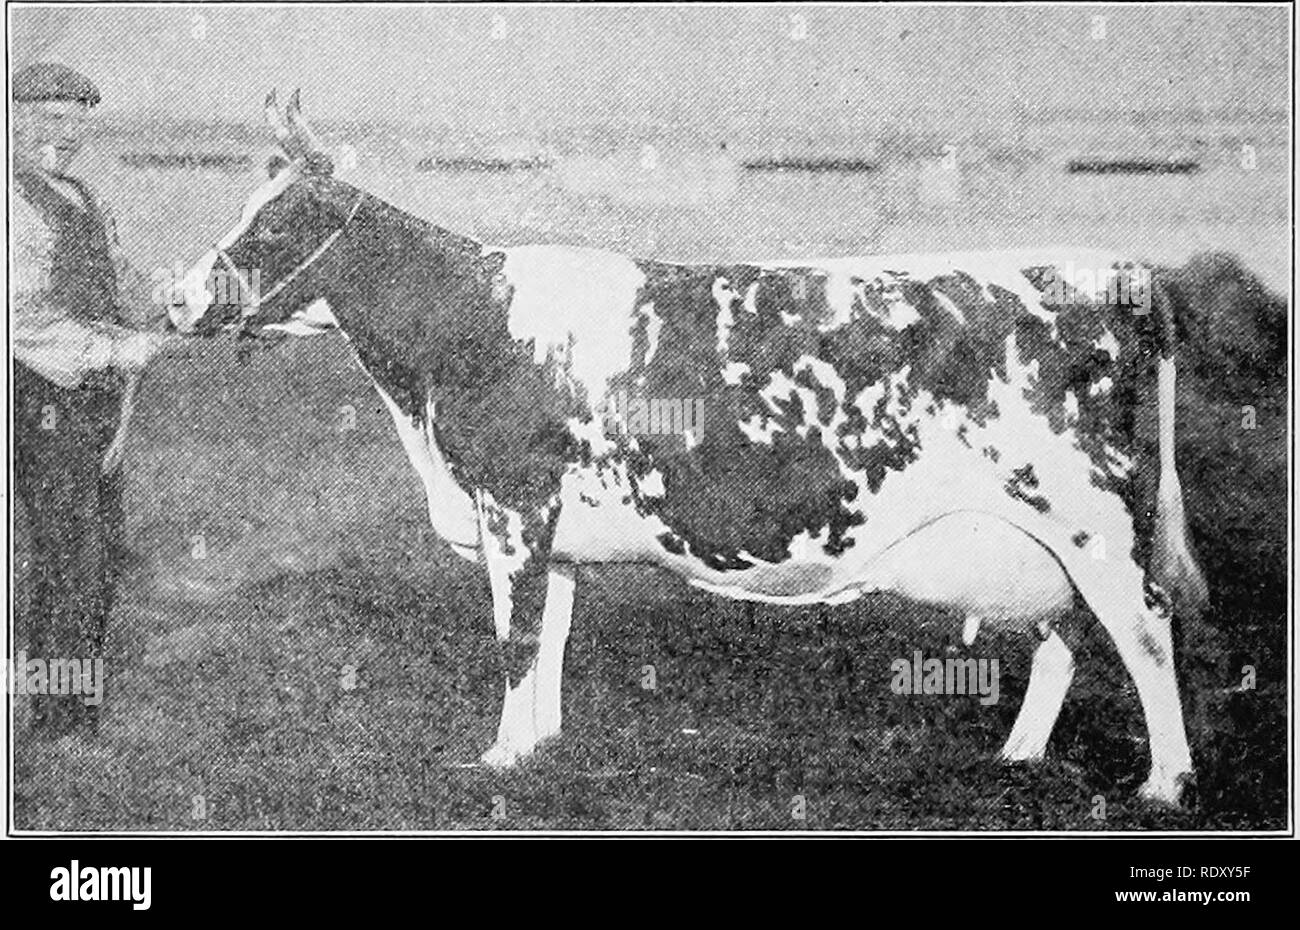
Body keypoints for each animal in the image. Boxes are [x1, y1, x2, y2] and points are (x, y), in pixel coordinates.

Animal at [170, 92, 1212, 805]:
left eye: (273, 221)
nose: (173, 297)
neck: (461, 332)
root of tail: (1122, 270)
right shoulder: (554, 529)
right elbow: (552, 634)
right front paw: (543, 747)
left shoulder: (512, 505)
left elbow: (514, 639)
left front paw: (498, 757)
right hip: (1038, 535)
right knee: (1066, 640)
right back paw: (1019, 756)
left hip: (1093, 517)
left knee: (1145, 631)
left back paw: (1165, 781)